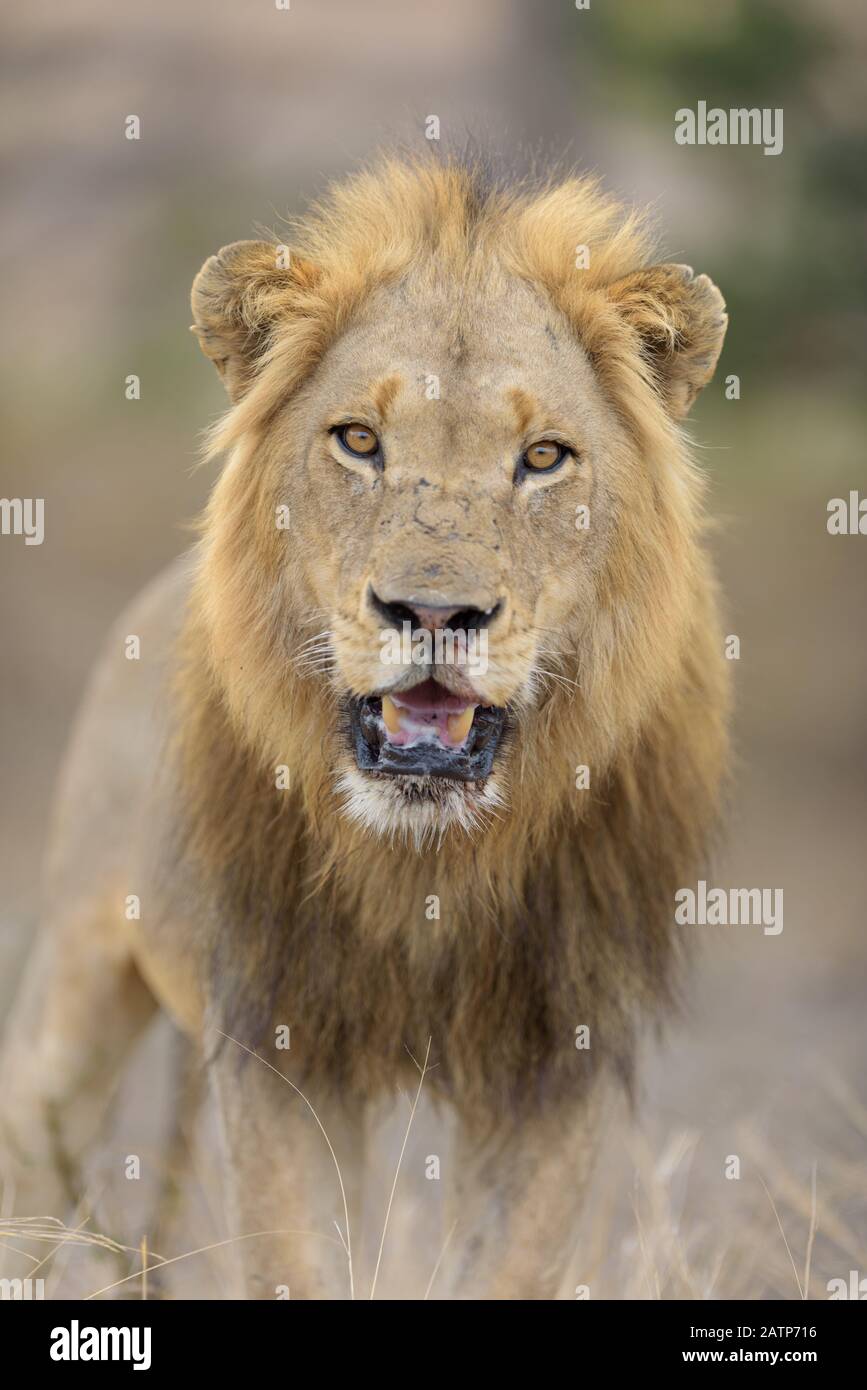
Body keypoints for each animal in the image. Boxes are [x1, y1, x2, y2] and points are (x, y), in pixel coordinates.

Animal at [0, 155, 729, 1300]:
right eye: (357, 441)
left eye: (544, 457)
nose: (433, 612)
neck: (425, 861)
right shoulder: (282, 1038)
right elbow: (296, 1261)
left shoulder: (553, 1059)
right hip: (71, 994)